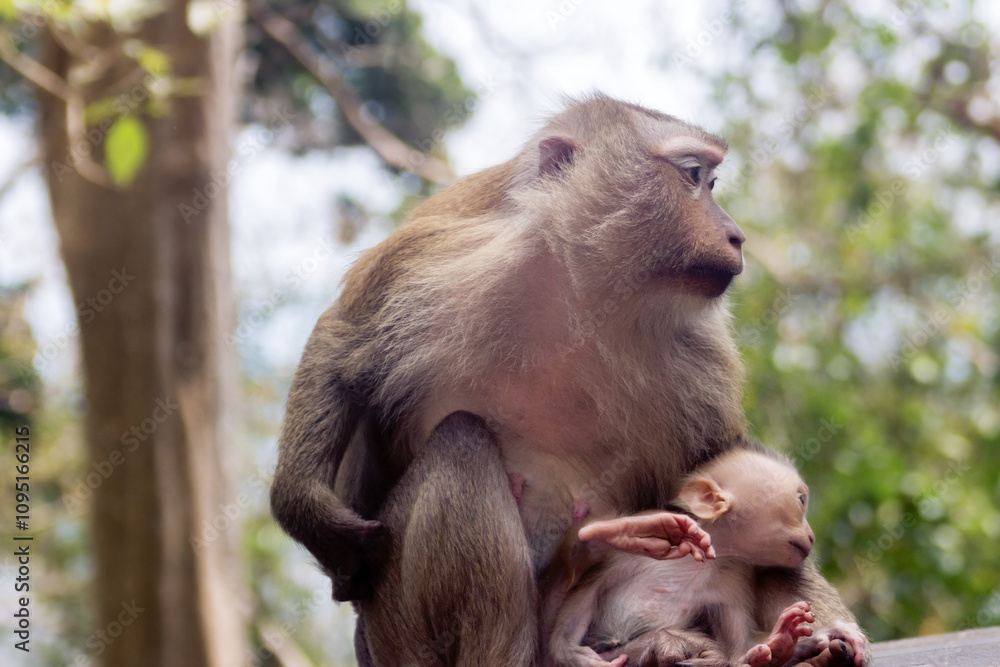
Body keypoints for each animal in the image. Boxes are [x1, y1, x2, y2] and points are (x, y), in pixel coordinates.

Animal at [545, 445, 868, 667]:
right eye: (801, 500)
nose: (811, 535)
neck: (714, 551)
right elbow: (578, 569)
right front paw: (626, 530)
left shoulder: (734, 579)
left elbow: (739, 649)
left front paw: (791, 639)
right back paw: (566, 648)